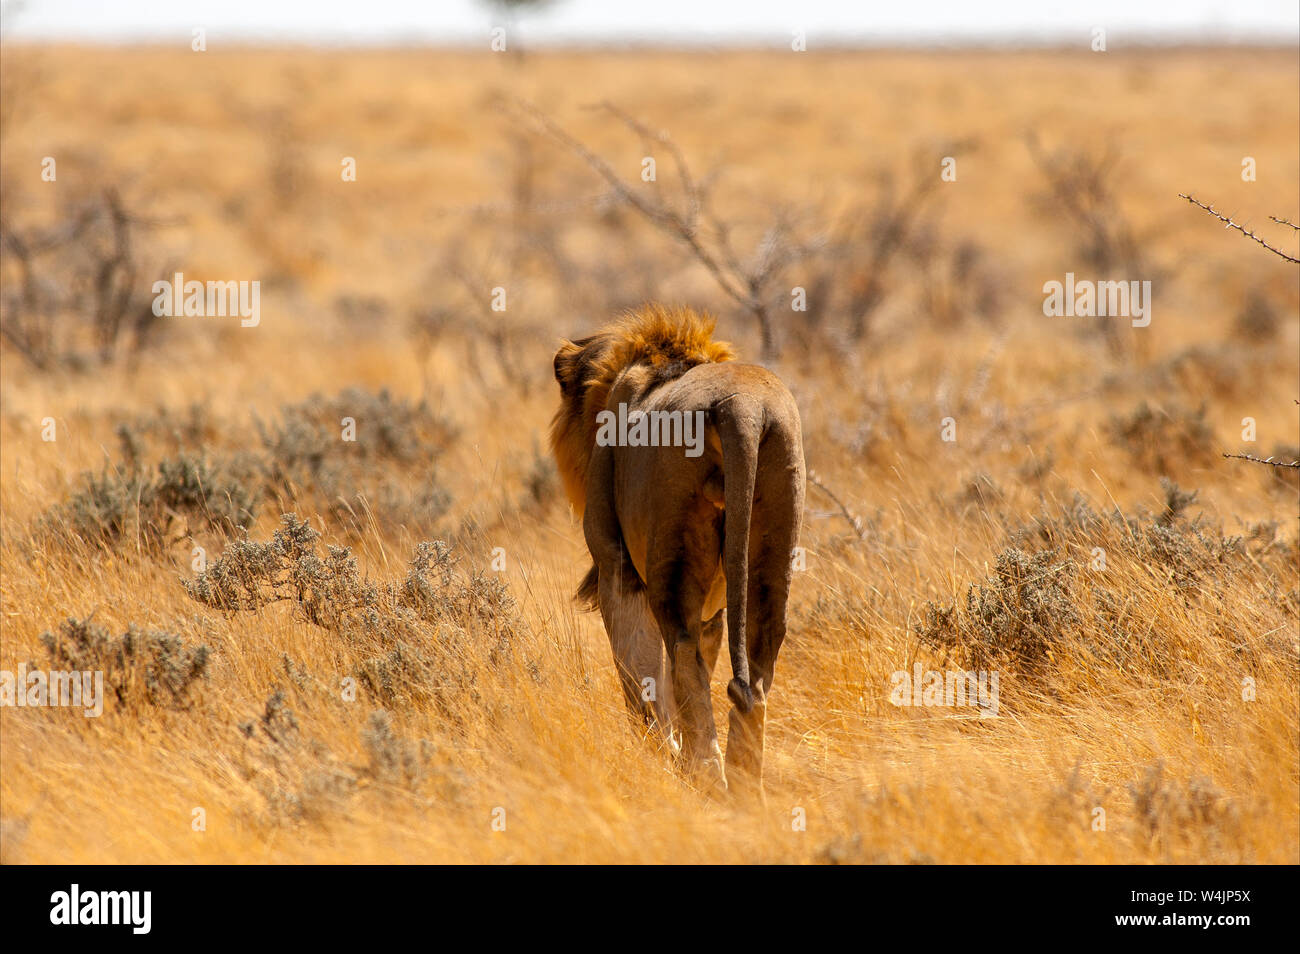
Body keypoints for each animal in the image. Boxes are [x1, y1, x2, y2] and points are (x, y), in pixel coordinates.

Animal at [550, 303, 805, 797]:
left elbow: (640, 672)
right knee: (757, 663)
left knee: (682, 651)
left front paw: (660, 753)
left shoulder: (616, 567)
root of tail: (744, 409)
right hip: (776, 529)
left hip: (672, 555)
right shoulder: (714, 608)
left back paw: (705, 777)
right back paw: (743, 787)